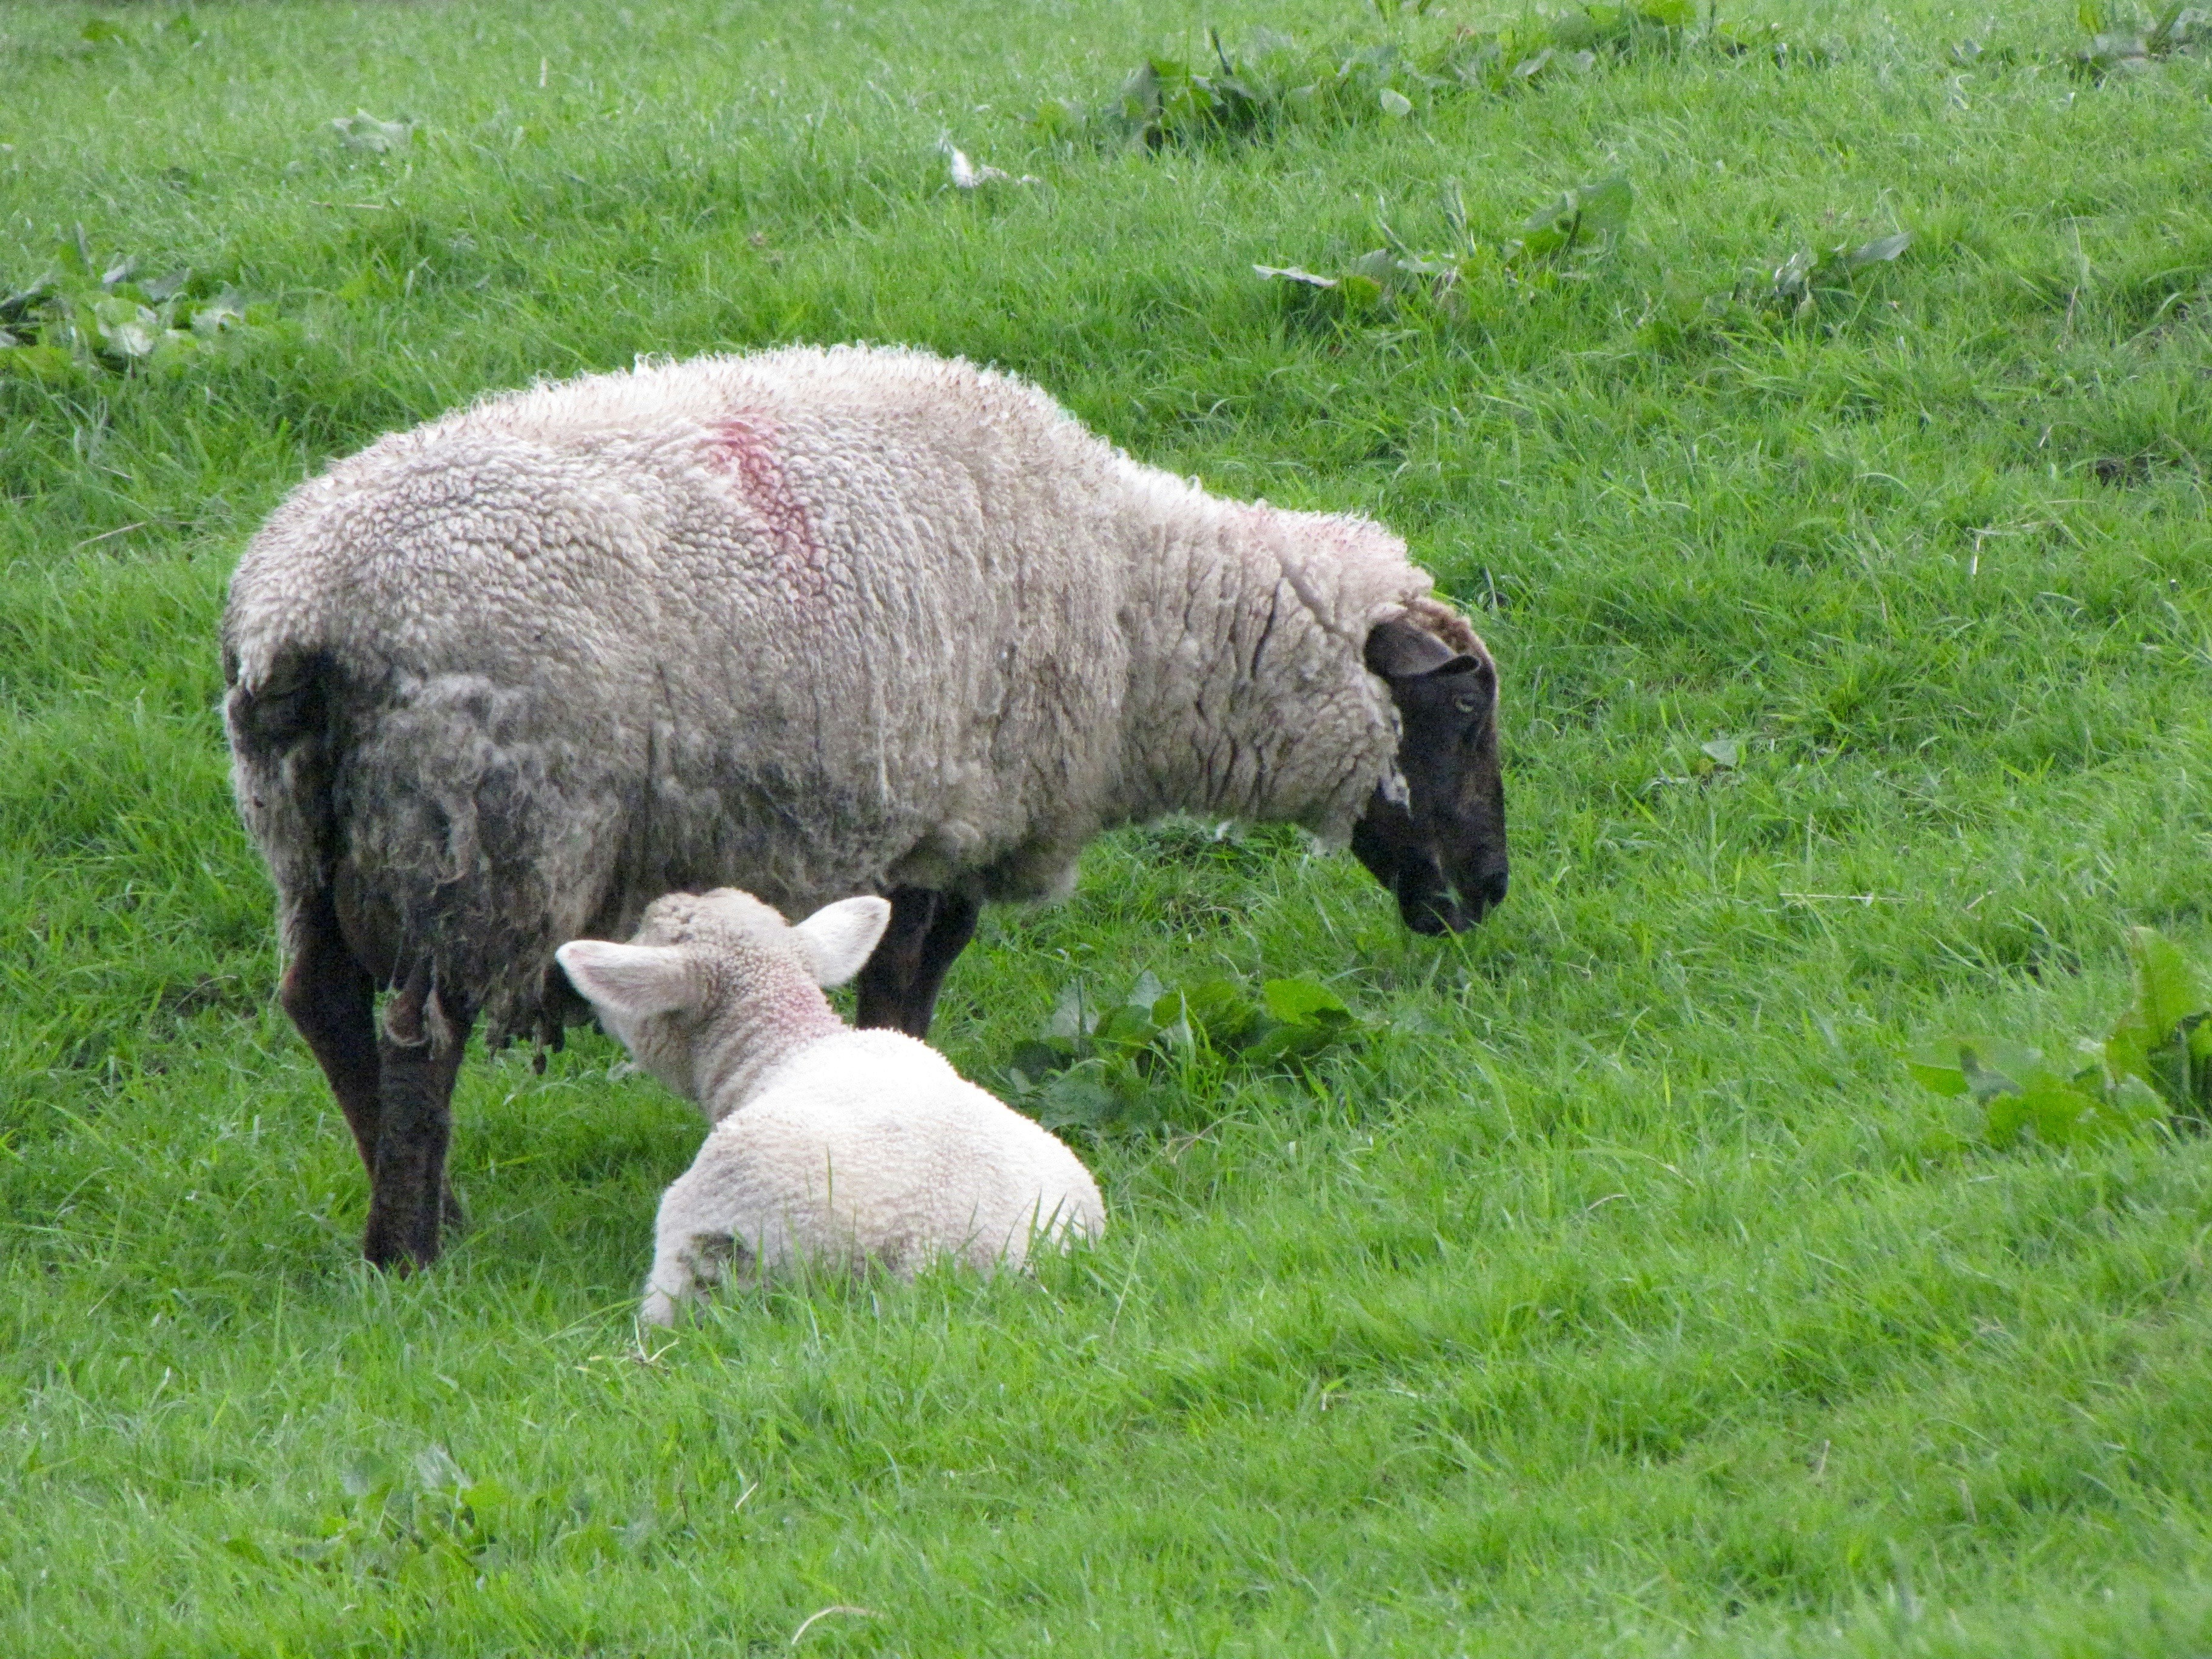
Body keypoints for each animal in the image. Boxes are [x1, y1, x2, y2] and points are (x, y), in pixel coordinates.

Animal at [221, 343, 1508, 1269]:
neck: (1133, 609)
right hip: (483, 835)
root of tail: (299, 615)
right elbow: (907, 976)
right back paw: (409, 1247)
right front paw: (903, 1076)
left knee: (322, 1003)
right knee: (418, 1035)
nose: (1485, 892)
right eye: (1458, 711)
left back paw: (426, 1202)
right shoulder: (941, 818)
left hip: (307, 839)